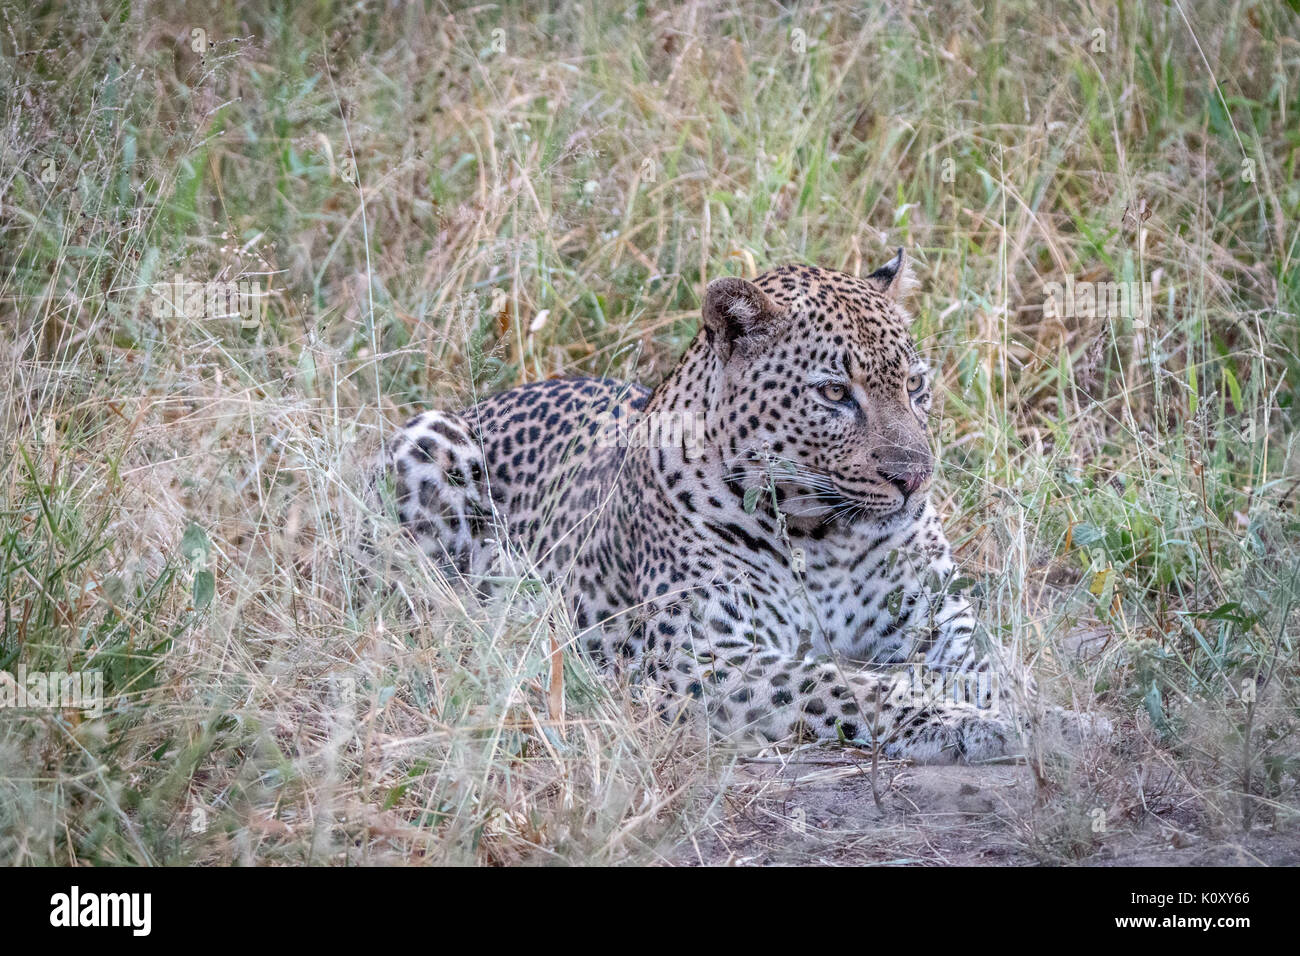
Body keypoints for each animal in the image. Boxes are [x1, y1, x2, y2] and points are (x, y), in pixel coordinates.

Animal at [371, 251, 1108, 763]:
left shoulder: (940, 629)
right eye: (834, 393)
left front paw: (1056, 721)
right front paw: (958, 725)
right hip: (429, 440)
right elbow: (846, 685)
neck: (825, 538)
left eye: (916, 386)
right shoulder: (699, 654)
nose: (914, 477)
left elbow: (999, 674)